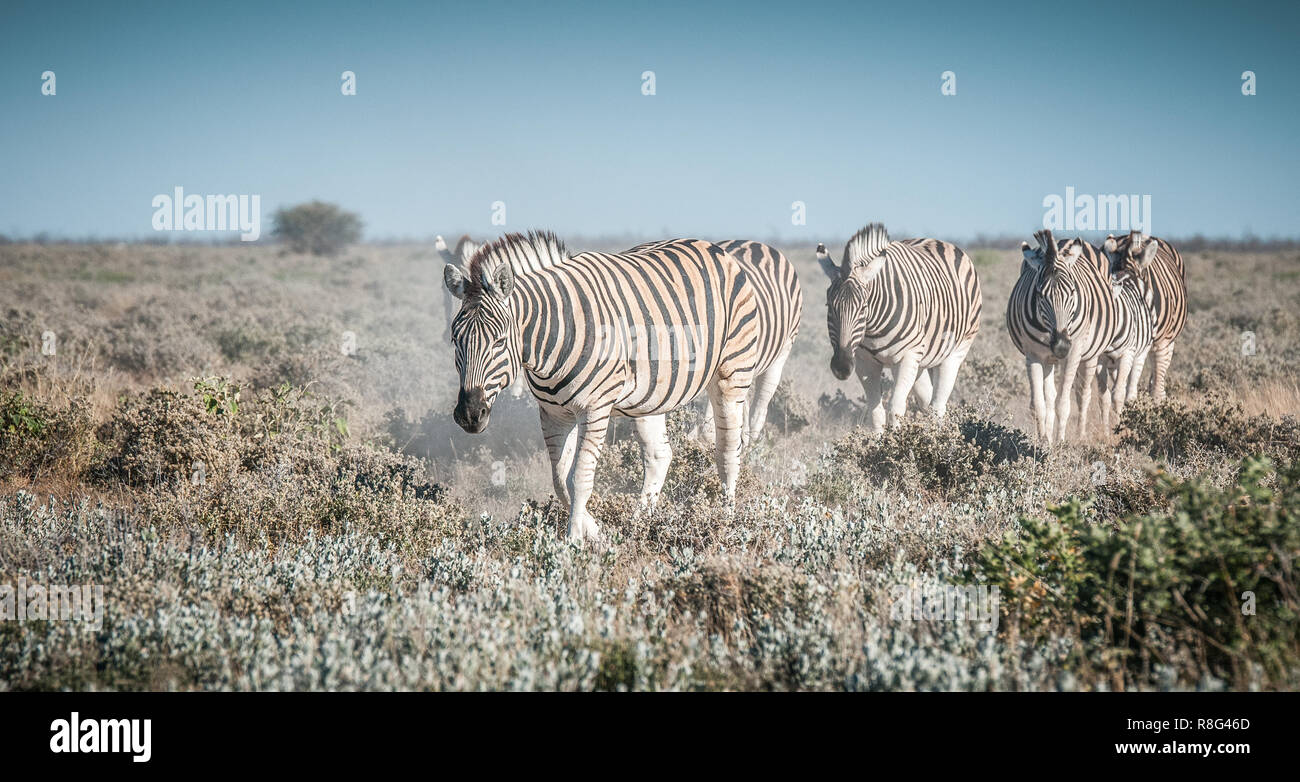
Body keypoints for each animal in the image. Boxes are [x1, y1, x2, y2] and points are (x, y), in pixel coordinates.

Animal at [443, 231, 759, 541]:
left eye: (498, 341)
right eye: (455, 340)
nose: (470, 415)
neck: (553, 337)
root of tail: (710, 246)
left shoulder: (594, 409)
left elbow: (580, 477)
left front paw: (573, 541)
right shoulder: (553, 414)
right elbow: (560, 479)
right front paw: (597, 533)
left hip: (731, 375)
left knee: (728, 451)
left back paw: (725, 521)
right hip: (651, 396)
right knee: (659, 455)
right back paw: (639, 524)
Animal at [819, 223, 982, 431]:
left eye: (864, 308)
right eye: (829, 306)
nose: (842, 367)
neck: (873, 327)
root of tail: (938, 241)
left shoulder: (907, 356)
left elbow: (895, 409)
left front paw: (896, 440)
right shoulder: (864, 362)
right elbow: (876, 413)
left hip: (956, 350)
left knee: (938, 406)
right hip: (921, 360)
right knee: (927, 400)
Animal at [1007, 230, 1118, 442]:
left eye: (1073, 292)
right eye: (1040, 295)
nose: (1060, 346)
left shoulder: (1073, 354)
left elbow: (1063, 404)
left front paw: (1060, 443)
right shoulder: (1033, 355)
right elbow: (1039, 405)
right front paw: (1043, 442)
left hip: (1091, 355)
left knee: (1084, 394)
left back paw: (1081, 436)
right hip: (1049, 360)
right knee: (1050, 396)